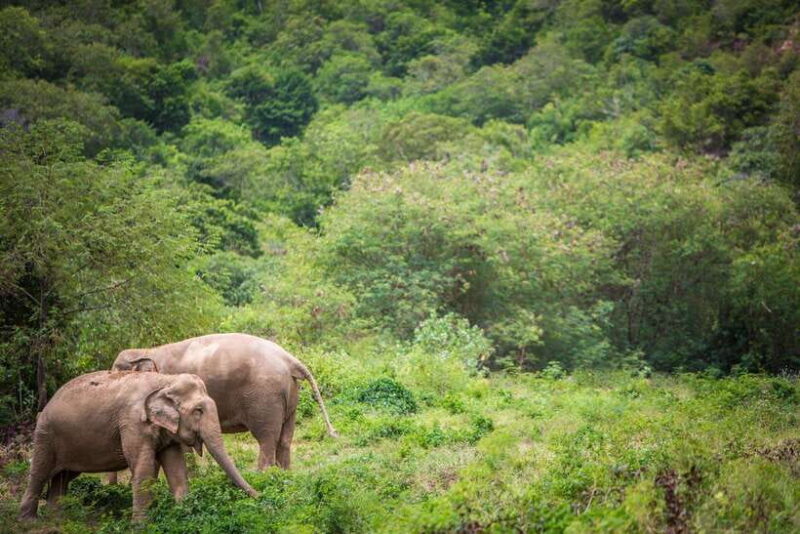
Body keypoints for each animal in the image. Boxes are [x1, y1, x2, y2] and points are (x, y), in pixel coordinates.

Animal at [18, 370, 258, 522]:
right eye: (198, 411)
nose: (259, 496)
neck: (165, 380)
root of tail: (48, 403)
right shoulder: (132, 422)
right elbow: (142, 469)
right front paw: (141, 525)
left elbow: (176, 468)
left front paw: (184, 513)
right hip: (45, 435)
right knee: (39, 472)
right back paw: (29, 521)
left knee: (63, 476)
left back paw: (56, 519)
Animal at [111, 333, 337, 471]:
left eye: (115, 373)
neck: (146, 351)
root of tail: (291, 360)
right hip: (290, 396)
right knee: (285, 438)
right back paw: (285, 475)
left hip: (265, 397)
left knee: (267, 438)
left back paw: (263, 476)